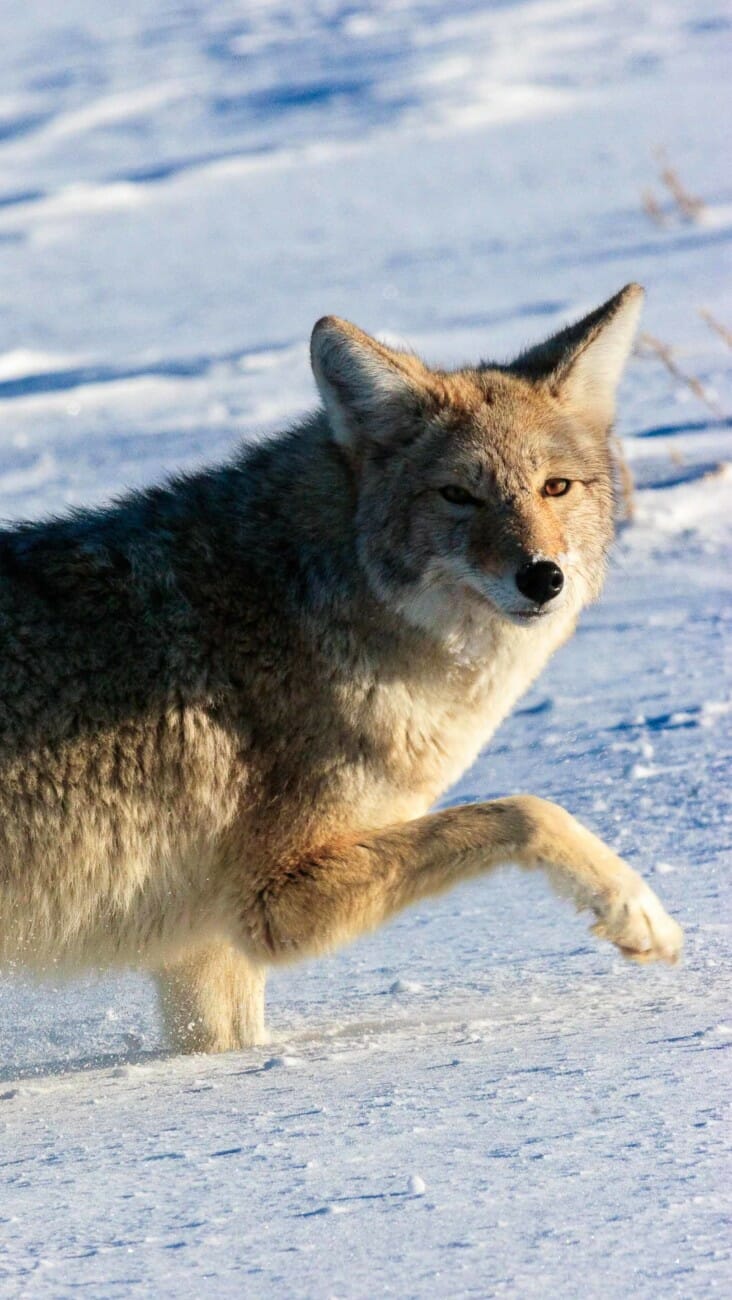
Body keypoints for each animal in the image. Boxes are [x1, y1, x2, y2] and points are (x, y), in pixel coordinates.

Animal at [0, 283, 682, 1054]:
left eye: (555, 487)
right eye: (458, 495)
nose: (543, 577)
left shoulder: (204, 948)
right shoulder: (273, 902)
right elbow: (531, 810)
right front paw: (639, 913)